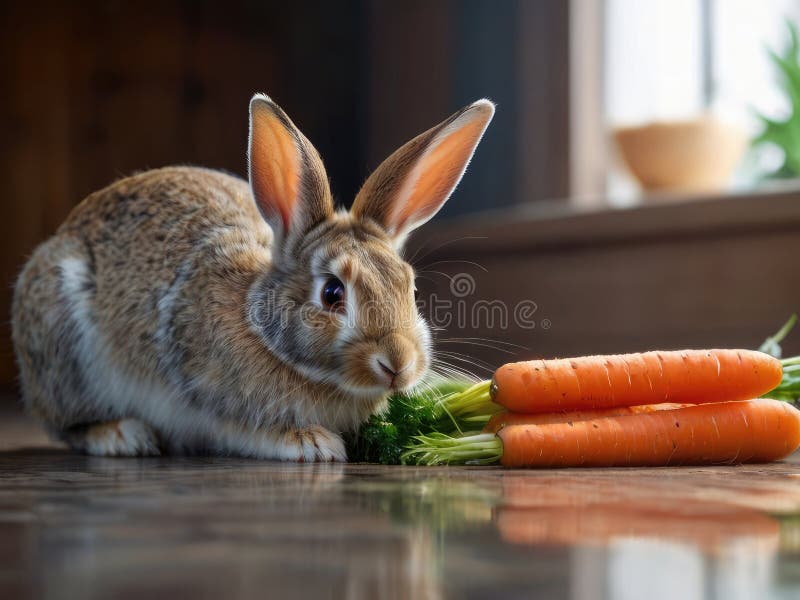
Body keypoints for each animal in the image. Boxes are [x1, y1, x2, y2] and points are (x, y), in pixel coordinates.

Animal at [11, 94, 494, 461]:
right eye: (332, 292)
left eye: (409, 286)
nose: (398, 364)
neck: (264, 332)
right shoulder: (205, 400)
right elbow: (244, 431)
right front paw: (313, 443)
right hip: (65, 351)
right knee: (68, 424)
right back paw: (122, 436)